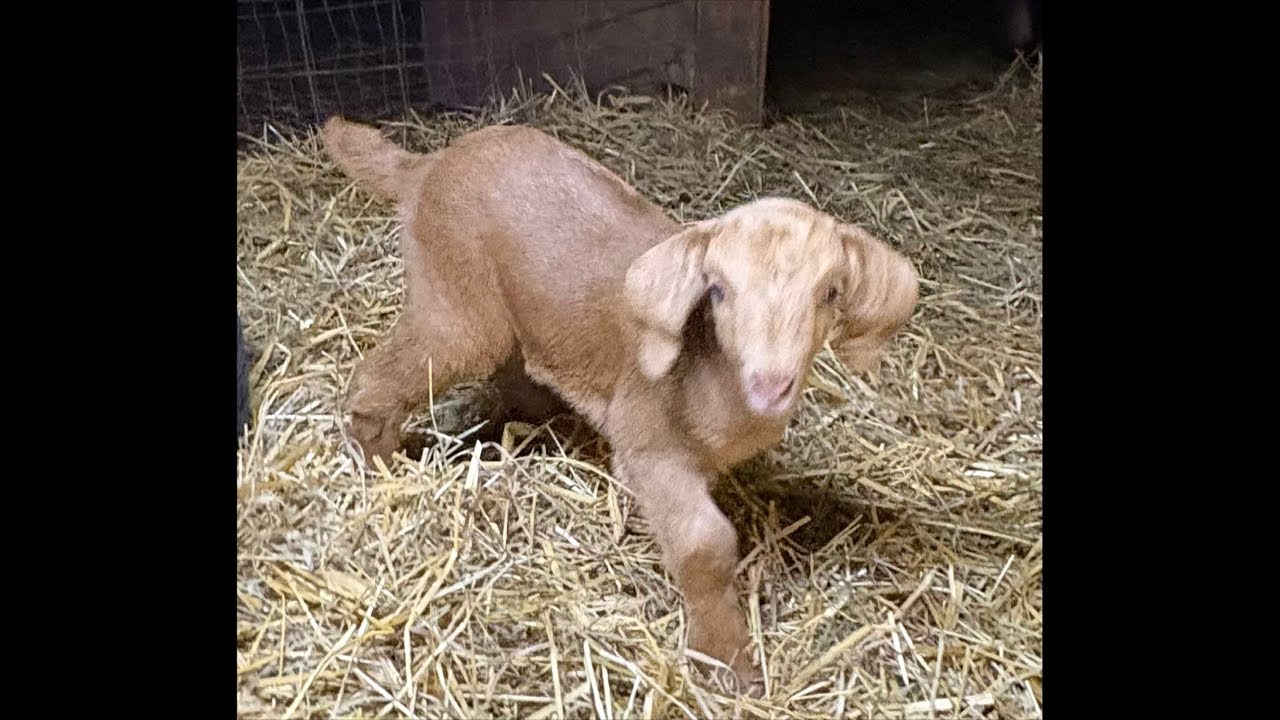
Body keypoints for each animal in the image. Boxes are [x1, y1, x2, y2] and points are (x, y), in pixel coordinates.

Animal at [322, 117, 919, 693]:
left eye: (831, 293)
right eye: (718, 291)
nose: (770, 384)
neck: (710, 379)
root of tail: (426, 166)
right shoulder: (646, 437)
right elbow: (704, 543)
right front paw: (729, 664)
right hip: (455, 299)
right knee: (388, 369)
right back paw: (376, 462)